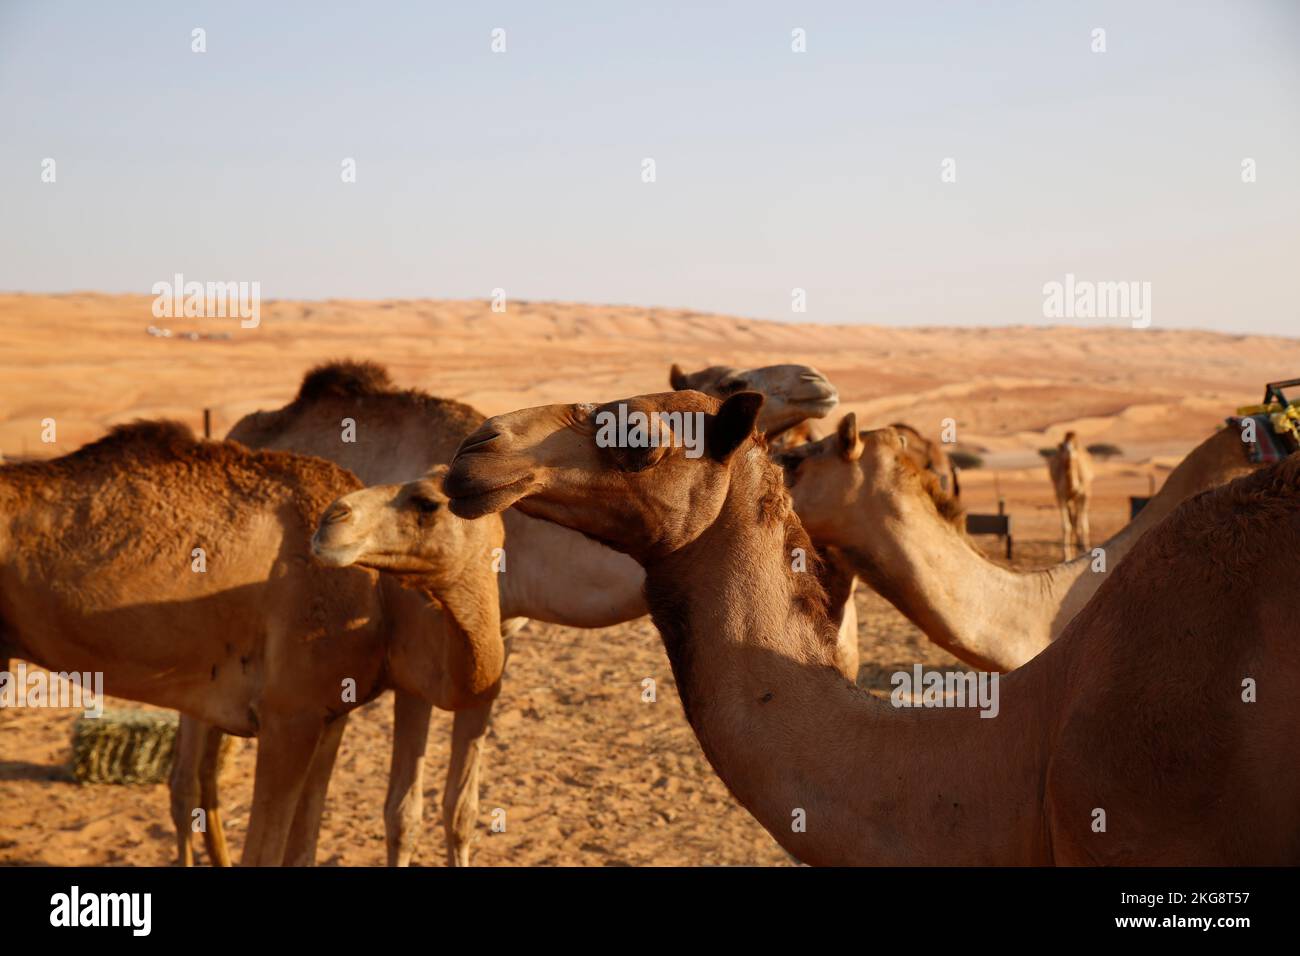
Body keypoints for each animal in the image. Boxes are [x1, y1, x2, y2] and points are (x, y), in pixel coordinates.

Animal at [0, 422, 501, 866]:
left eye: (427, 503)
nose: (332, 521)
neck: (380, 605)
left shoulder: (330, 714)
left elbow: (302, 851)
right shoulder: (287, 714)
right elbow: (263, 853)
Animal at [177, 358, 847, 866]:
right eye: (733, 381)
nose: (816, 380)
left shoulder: (499, 638)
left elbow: (461, 807)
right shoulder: (415, 662)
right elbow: (402, 811)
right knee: (191, 773)